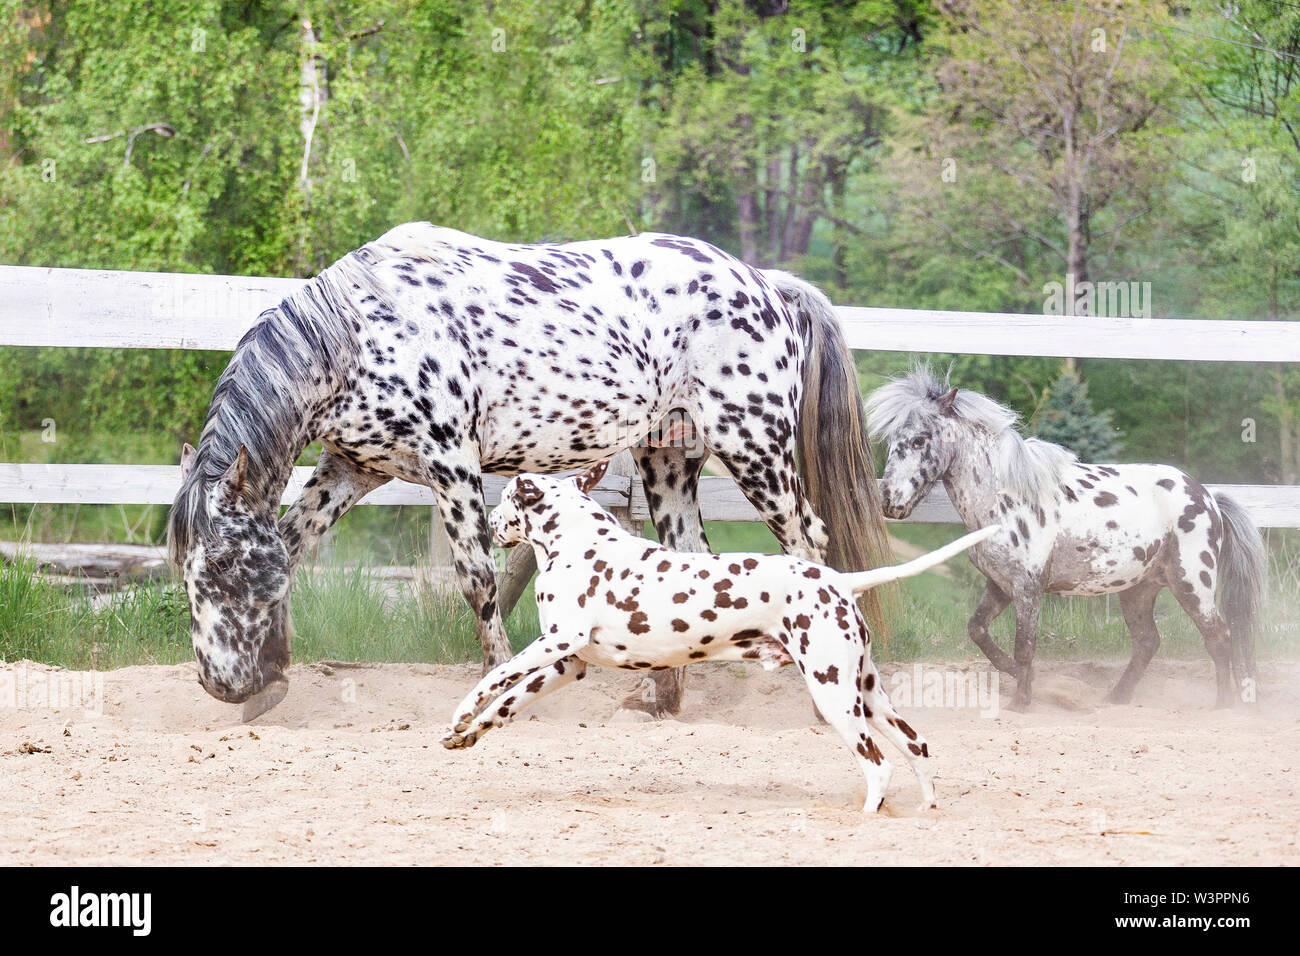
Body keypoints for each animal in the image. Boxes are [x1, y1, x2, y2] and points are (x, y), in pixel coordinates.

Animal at [167, 222, 891, 718]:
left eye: (224, 568)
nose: (221, 685)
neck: (361, 331)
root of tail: (765, 282)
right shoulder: (350, 471)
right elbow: (292, 549)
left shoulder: (452, 467)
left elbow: (478, 580)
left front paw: (496, 680)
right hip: (667, 458)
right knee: (691, 558)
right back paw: (661, 698)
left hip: (756, 449)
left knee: (809, 544)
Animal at [865, 366, 1266, 709]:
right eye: (893, 440)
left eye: (919, 440)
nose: (889, 501)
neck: (1004, 497)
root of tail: (1208, 497)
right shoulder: (999, 584)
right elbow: (978, 631)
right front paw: (1018, 677)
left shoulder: (1028, 587)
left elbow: (1025, 646)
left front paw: (1021, 701)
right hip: (1138, 589)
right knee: (1148, 642)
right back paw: (1116, 698)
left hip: (1191, 584)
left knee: (1219, 636)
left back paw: (1223, 704)